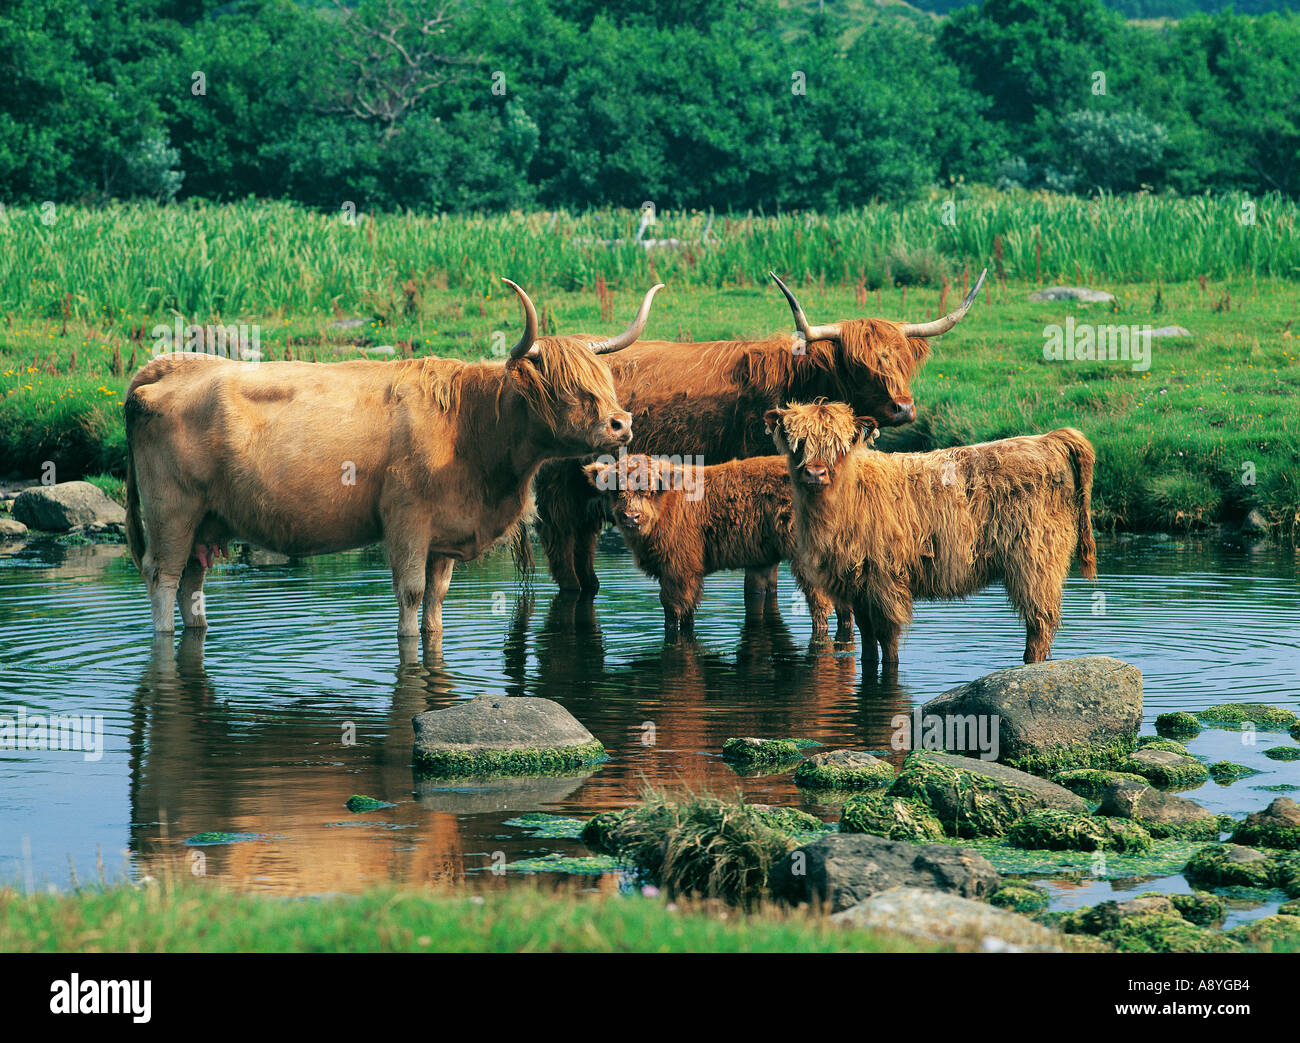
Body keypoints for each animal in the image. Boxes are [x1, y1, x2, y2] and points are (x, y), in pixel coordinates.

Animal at [123, 280, 662, 636]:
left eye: (604, 380)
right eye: (565, 387)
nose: (622, 424)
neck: (471, 433)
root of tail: (170, 364)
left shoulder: (444, 536)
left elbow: (435, 609)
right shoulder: (406, 519)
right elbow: (410, 599)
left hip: (205, 523)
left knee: (191, 583)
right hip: (172, 511)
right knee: (162, 579)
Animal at [535, 269, 988, 594]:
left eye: (904, 360)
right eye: (860, 366)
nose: (904, 408)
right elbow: (760, 580)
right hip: (560, 493)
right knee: (565, 559)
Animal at [582, 452, 853, 638]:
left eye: (649, 491)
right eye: (615, 491)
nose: (631, 517)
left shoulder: (679, 570)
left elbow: (673, 609)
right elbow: (688, 610)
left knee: (821, 601)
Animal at [763, 400, 1097, 665]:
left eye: (840, 447)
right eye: (798, 444)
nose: (815, 473)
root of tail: (1047, 439)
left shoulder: (885, 582)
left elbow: (888, 639)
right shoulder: (857, 585)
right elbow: (867, 639)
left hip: (1036, 561)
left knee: (1040, 624)